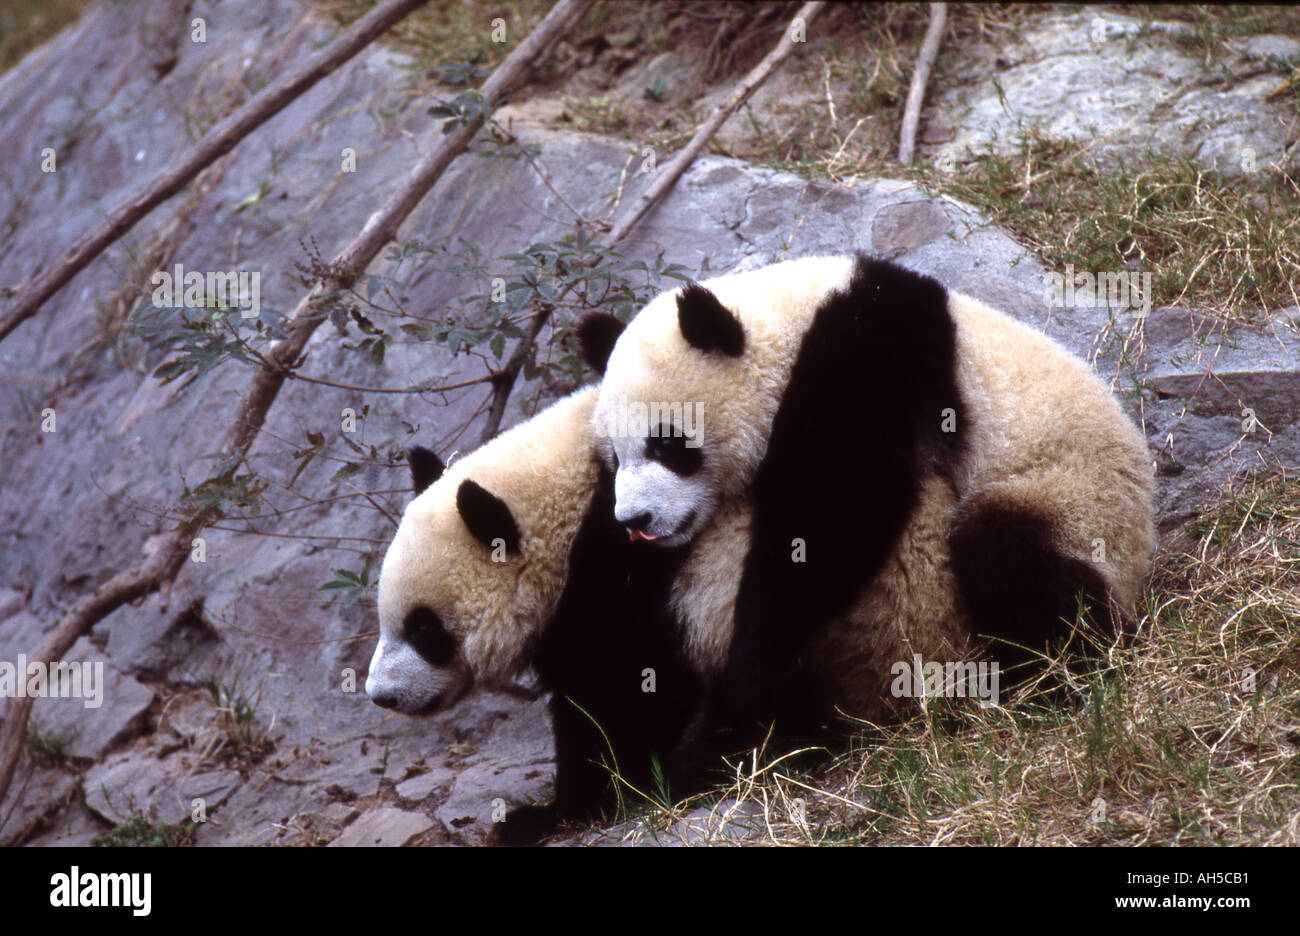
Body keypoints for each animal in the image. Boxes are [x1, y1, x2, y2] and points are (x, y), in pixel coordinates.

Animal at [578, 253, 1156, 730]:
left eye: (667, 444)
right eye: (615, 457)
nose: (635, 520)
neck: (786, 321)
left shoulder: (872, 350)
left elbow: (833, 514)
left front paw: (741, 689)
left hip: (1079, 501)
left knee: (1005, 550)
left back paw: (1064, 670)